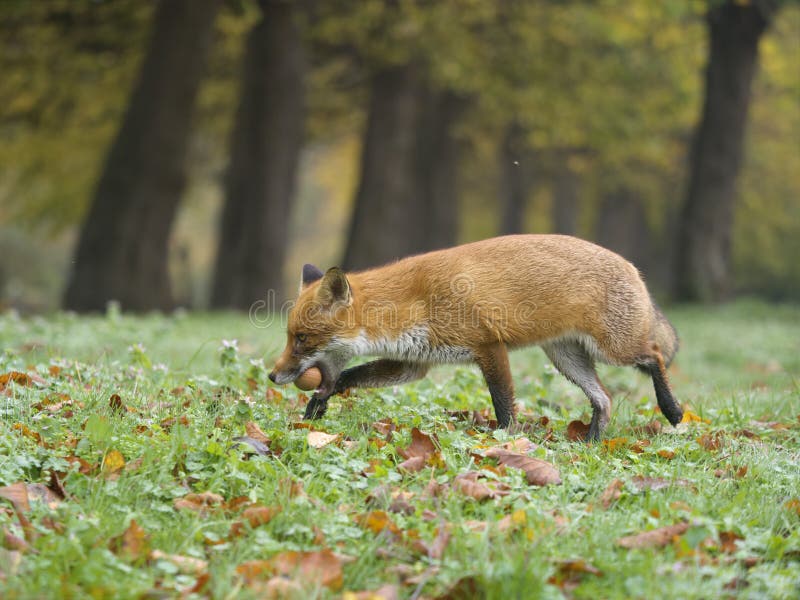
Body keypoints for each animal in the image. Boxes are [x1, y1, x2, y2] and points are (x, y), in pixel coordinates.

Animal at [268, 234, 683, 441]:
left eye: (302, 338)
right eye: (289, 336)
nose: (272, 375)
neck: (412, 301)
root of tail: (631, 265)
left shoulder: (488, 345)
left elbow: (503, 403)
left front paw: (504, 441)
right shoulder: (414, 362)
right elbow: (348, 376)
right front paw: (318, 405)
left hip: (616, 349)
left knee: (655, 355)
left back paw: (672, 410)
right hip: (566, 358)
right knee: (605, 399)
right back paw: (593, 442)